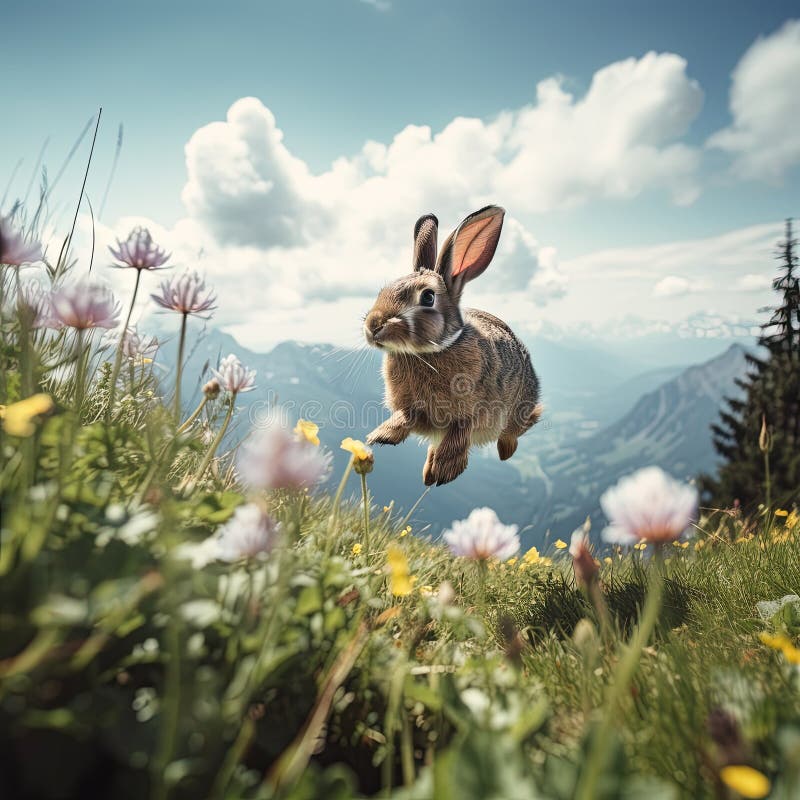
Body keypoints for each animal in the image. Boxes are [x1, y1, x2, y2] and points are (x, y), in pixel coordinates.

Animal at [364, 205, 542, 486]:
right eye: (383, 291)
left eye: (428, 297)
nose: (373, 326)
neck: (430, 352)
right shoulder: (411, 406)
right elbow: (406, 417)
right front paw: (381, 436)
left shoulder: (473, 410)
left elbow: (460, 432)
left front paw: (446, 470)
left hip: (519, 407)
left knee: (513, 431)